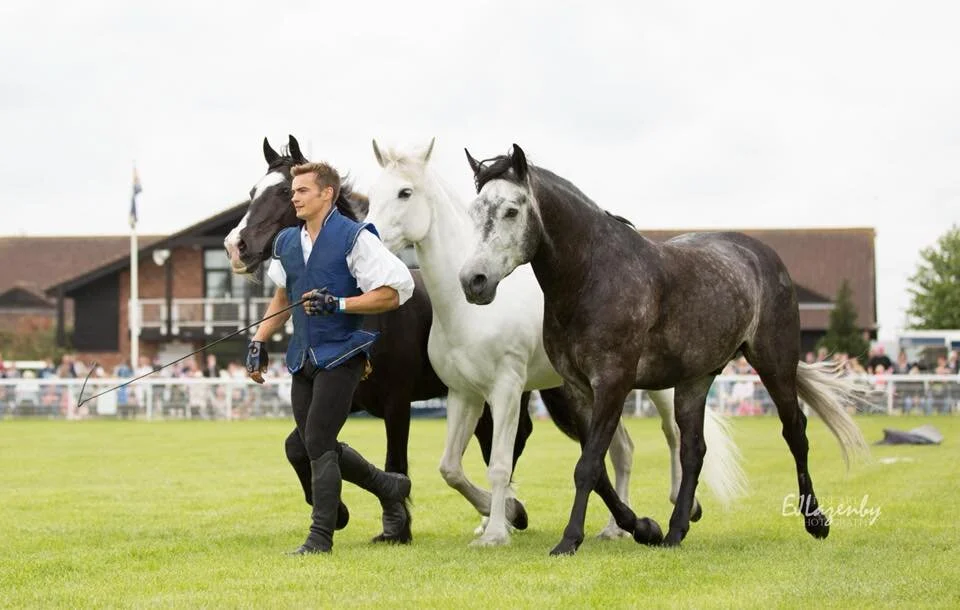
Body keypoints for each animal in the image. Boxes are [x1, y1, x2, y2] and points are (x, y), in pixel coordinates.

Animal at [365, 139, 746, 547]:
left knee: (672, 434)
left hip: (655, 384)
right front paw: (507, 514)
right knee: (623, 450)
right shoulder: (463, 393)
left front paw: (497, 532)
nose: (369, 237)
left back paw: (682, 507)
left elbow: (499, 464)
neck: (465, 312)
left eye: (405, 192)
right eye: (373, 193)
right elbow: (450, 467)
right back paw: (615, 528)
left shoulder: (506, 390)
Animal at [458, 144, 869, 555]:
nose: (473, 281)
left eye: (512, 210)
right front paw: (642, 527)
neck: (593, 276)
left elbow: (588, 466)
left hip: (774, 363)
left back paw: (815, 521)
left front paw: (570, 540)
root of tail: (761, 254)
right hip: (695, 381)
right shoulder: (577, 389)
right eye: (475, 212)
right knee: (693, 449)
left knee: (795, 433)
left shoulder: (613, 383)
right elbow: (597, 467)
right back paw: (675, 531)